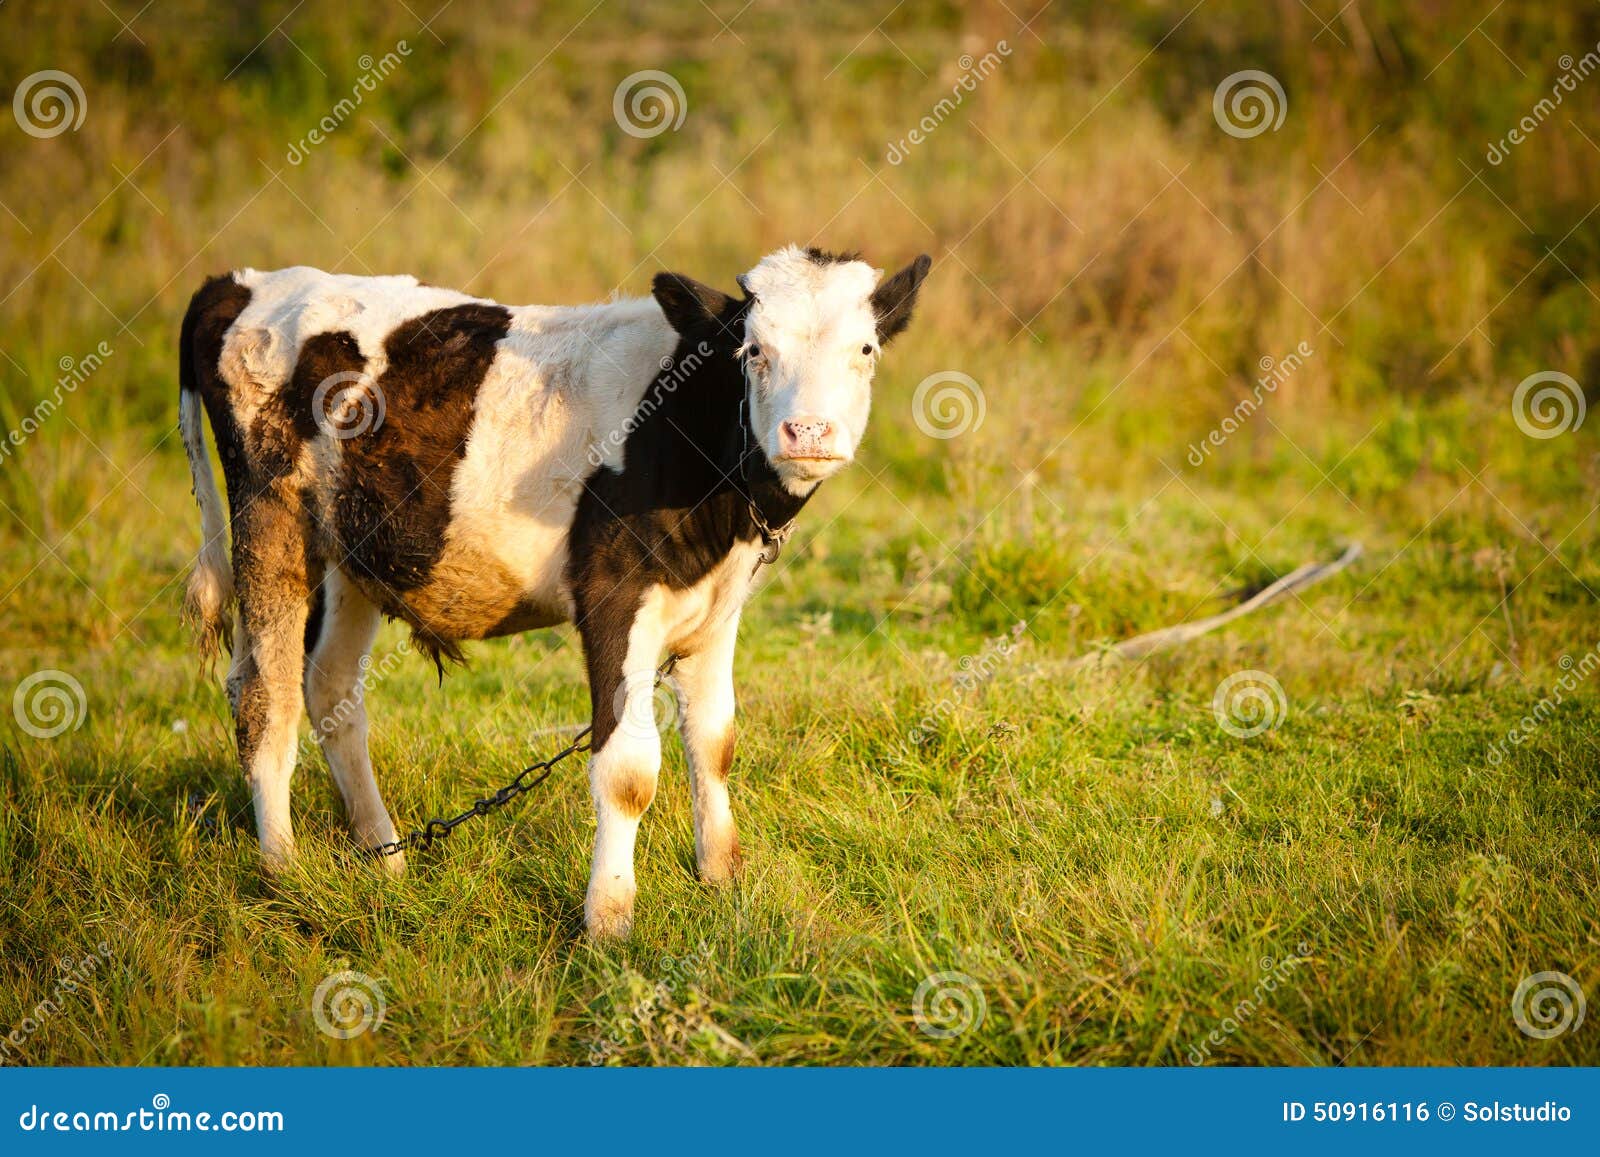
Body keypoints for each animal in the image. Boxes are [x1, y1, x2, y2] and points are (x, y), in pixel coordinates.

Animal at [179, 245, 930, 937]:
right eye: (752, 350)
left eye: (865, 348)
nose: (808, 433)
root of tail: (243, 281)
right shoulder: (612, 597)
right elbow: (628, 770)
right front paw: (610, 920)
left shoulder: (717, 608)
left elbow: (714, 741)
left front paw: (721, 879)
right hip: (270, 518)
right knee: (265, 698)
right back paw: (283, 872)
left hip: (353, 553)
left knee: (331, 689)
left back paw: (384, 856)